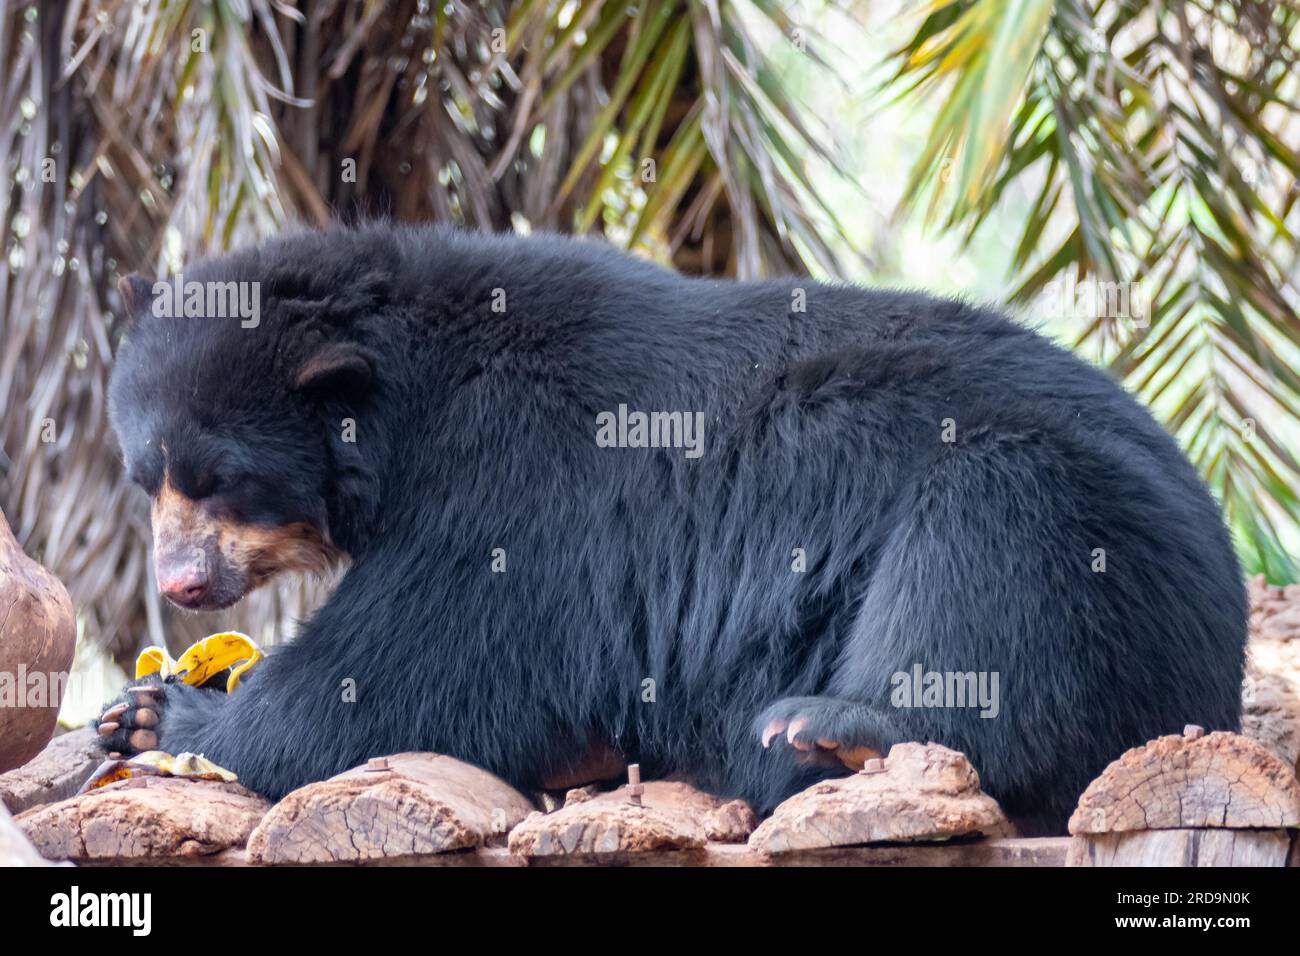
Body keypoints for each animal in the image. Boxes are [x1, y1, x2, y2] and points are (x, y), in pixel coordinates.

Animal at [98, 223, 1247, 834]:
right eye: (145, 476)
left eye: (221, 478)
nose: (183, 586)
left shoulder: (518, 490)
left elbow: (414, 661)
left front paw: (162, 714)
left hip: (1079, 524)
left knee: (994, 555)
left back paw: (831, 731)